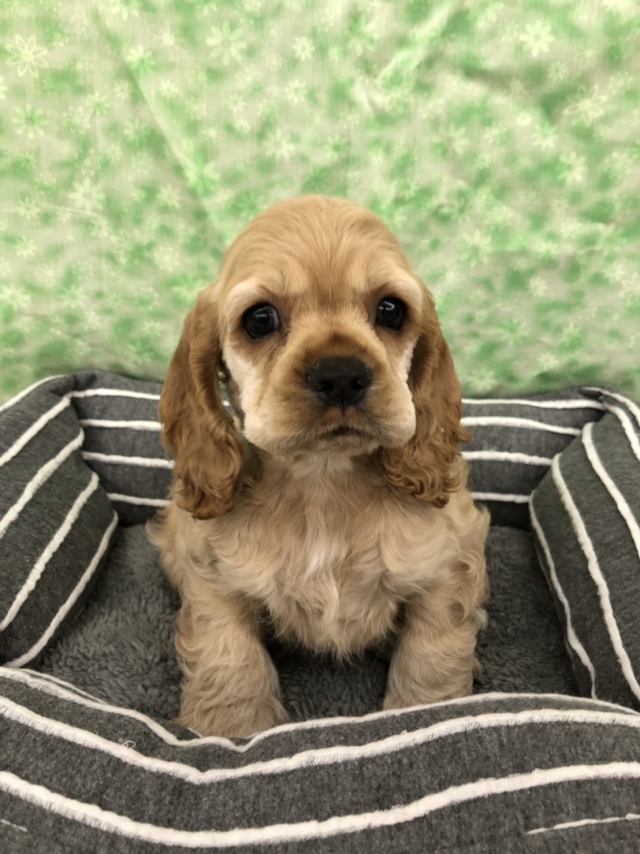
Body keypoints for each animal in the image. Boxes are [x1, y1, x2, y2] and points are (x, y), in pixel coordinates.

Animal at [148, 194, 489, 738]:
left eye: (390, 310)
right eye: (259, 319)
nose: (341, 374)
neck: (323, 479)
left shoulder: (447, 570)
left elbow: (431, 660)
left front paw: (425, 717)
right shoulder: (213, 579)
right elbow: (230, 661)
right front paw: (229, 730)